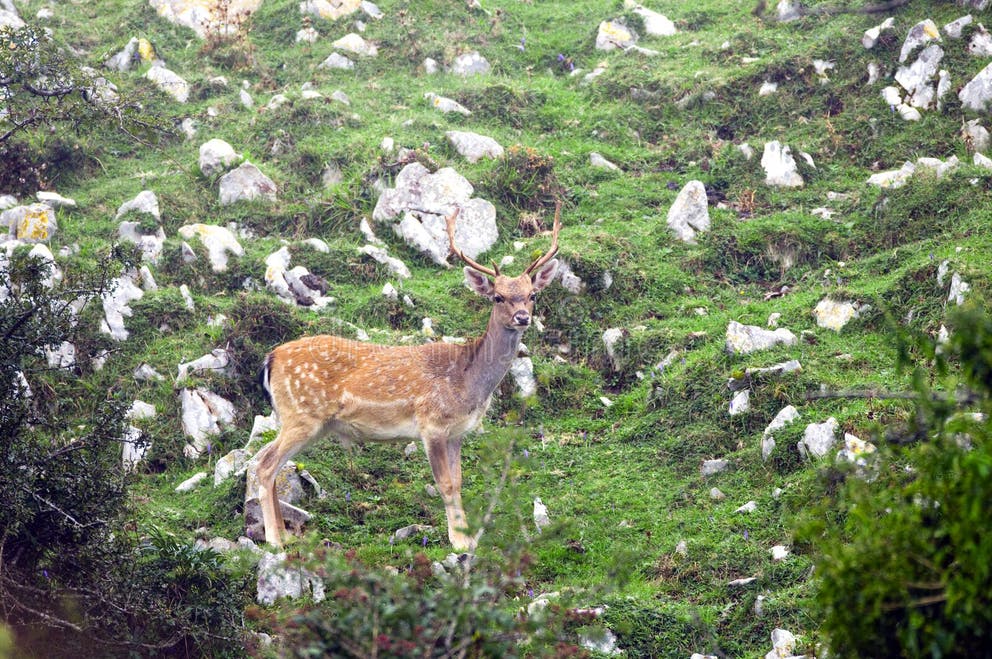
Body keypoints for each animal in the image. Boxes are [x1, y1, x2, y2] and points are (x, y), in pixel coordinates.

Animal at [255, 203, 562, 552]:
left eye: (532, 295)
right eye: (497, 297)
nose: (522, 317)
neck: (467, 383)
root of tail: (270, 358)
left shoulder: (457, 432)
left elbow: (459, 482)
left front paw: (469, 537)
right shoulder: (432, 424)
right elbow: (445, 484)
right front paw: (458, 542)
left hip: (301, 420)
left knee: (265, 462)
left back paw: (283, 534)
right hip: (301, 415)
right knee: (264, 465)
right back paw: (275, 540)